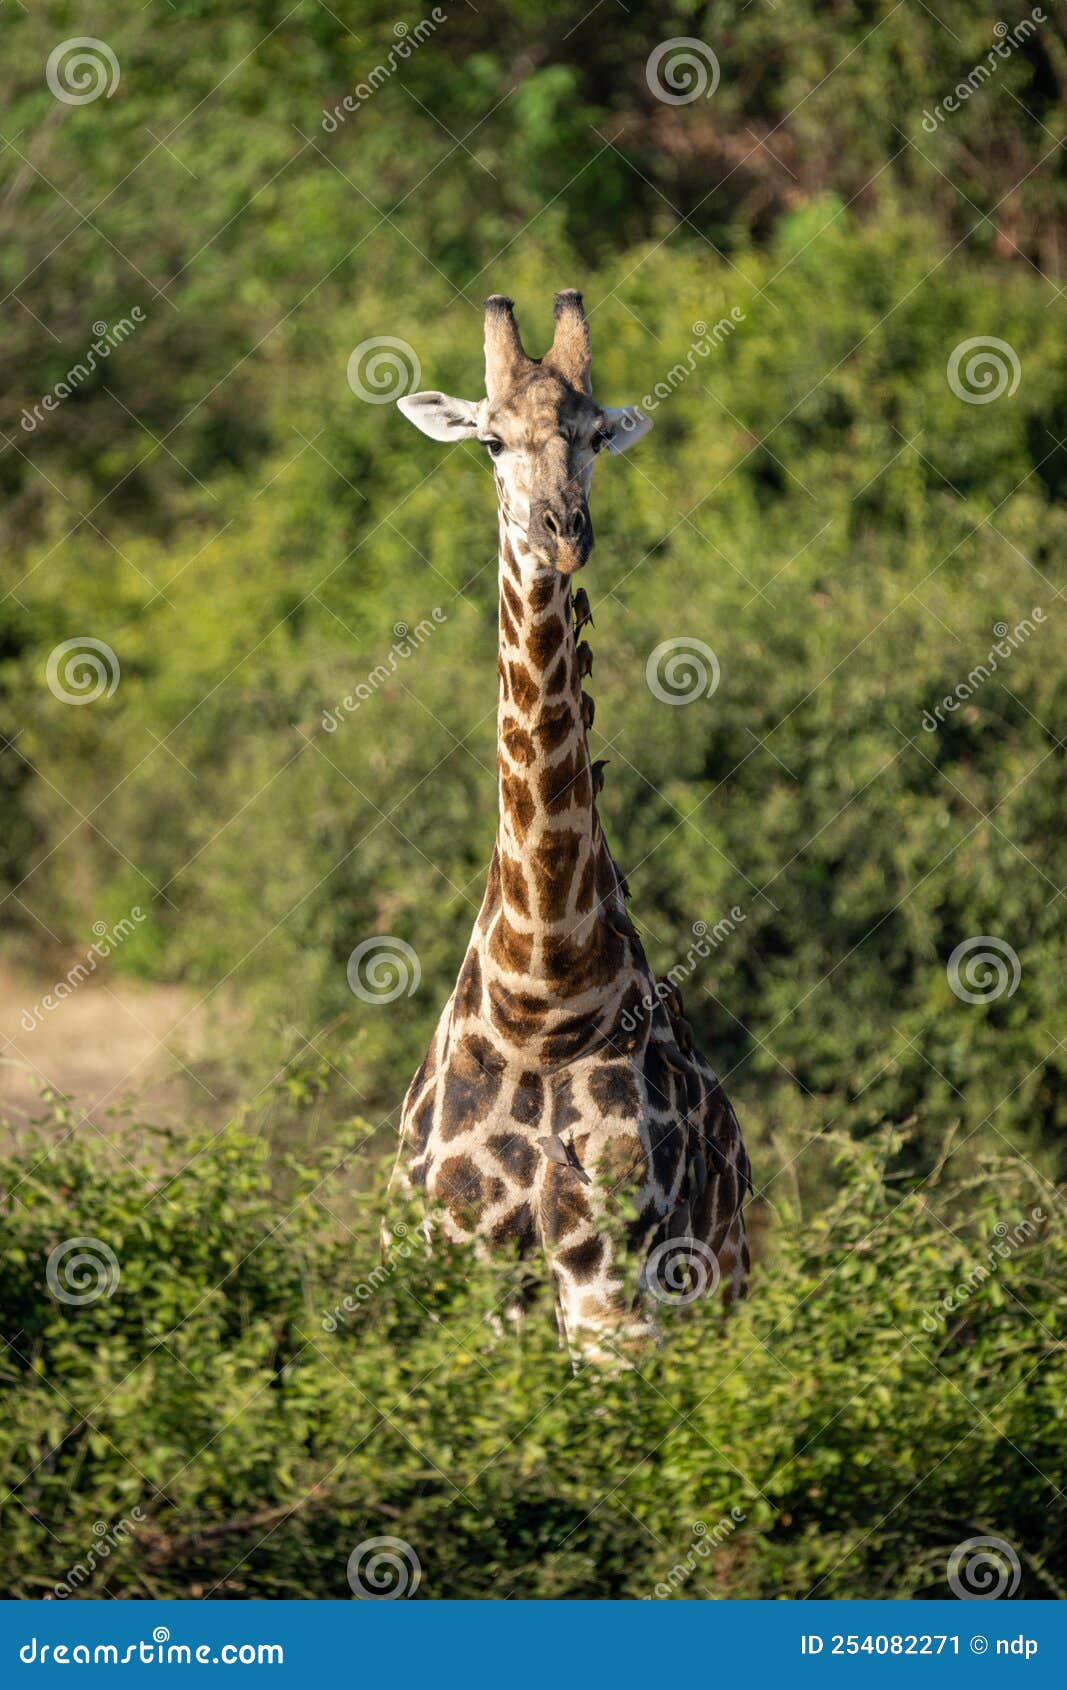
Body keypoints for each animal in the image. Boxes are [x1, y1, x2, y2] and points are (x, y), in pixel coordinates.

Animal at [390, 291, 751, 1359]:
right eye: (490, 440)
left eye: (593, 435)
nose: (562, 532)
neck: (543, 998)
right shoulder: (472, 1274)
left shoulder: (609, 1286)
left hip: (722, 1287)